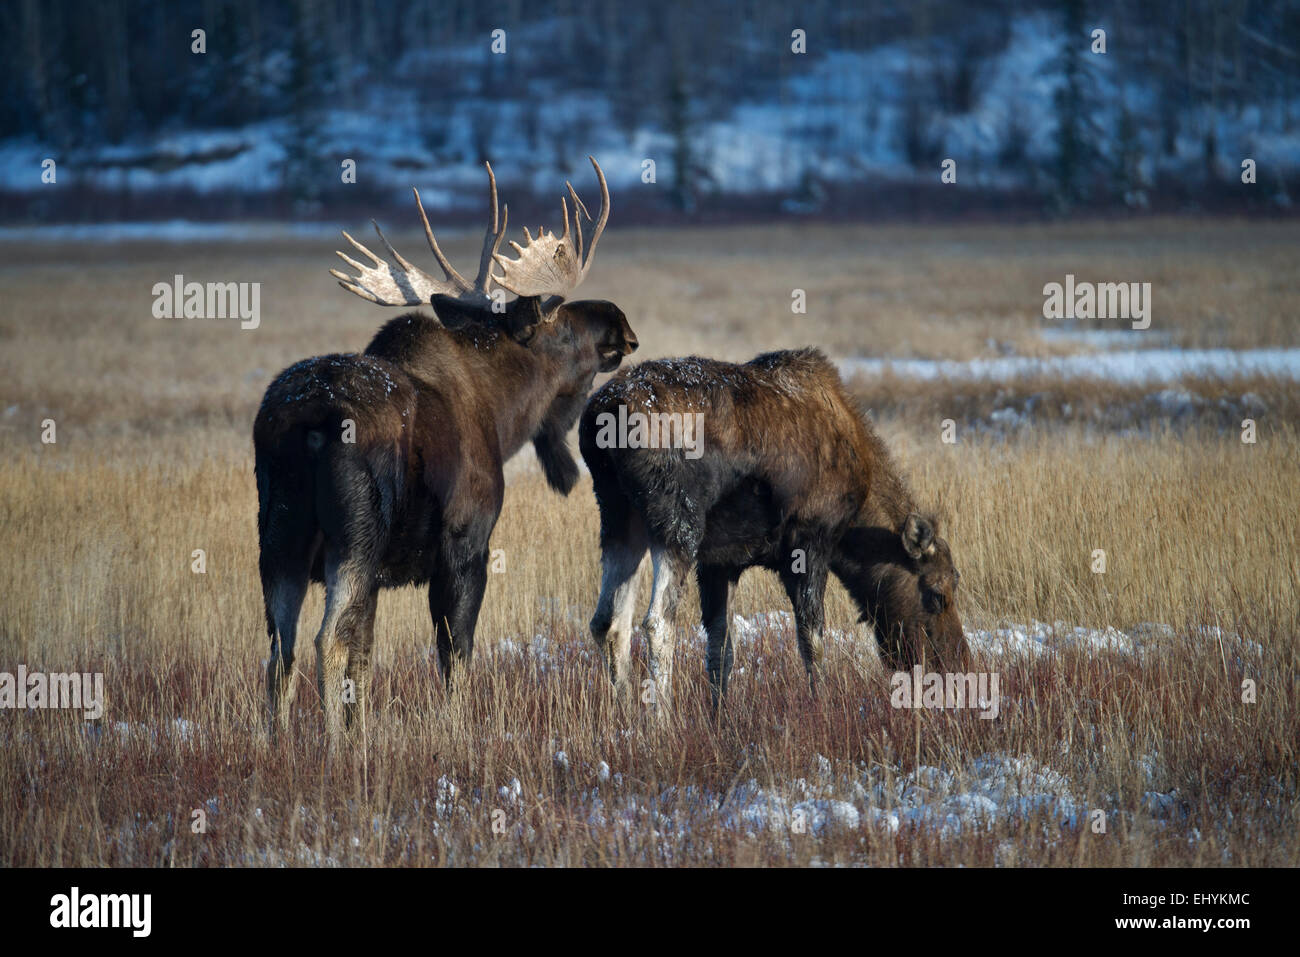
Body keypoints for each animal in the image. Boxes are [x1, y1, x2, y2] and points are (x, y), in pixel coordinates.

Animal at [254, 158, 637, 741]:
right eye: (560, 324)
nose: (620, 323)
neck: (503, 417)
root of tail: (304, 424)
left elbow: (366, 660)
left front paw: (364, 736)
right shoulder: (466, 543)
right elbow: (455, 653)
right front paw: (455, 731)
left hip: (279, 541)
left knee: (281, 653)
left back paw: (280, 745)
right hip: (354, 539)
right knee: (326, 641)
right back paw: (331, 748)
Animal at [578, 348, 968, 713]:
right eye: (937, 594)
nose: (957, 662)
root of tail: (604, 410)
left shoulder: (720, 562)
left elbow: (721, 649)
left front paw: (720, 718)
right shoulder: (809, 543)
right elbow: (812, 640)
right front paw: (821, 704)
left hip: (617, 516)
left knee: (608, 622)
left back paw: (625, 718)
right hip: (676, 523)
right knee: (656, 622)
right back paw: (661, 722)